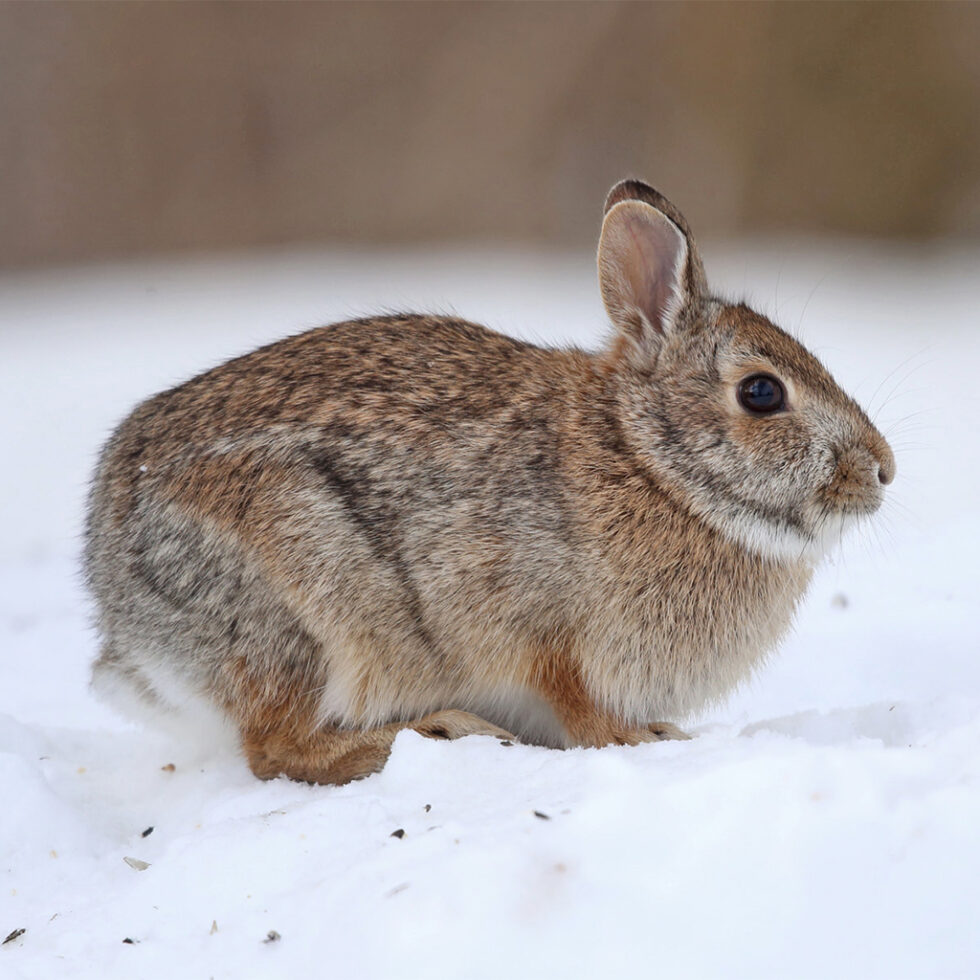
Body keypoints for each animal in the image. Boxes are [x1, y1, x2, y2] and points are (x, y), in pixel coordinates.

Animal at [84, 179, 895, 785]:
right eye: (761, 393)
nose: (882, 468)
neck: (651, 463)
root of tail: (120, 615)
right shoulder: (551, 637)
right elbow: (582, 712)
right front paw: (650, 743)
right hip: (304, 606)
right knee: (278, 749)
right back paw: (445, 730)